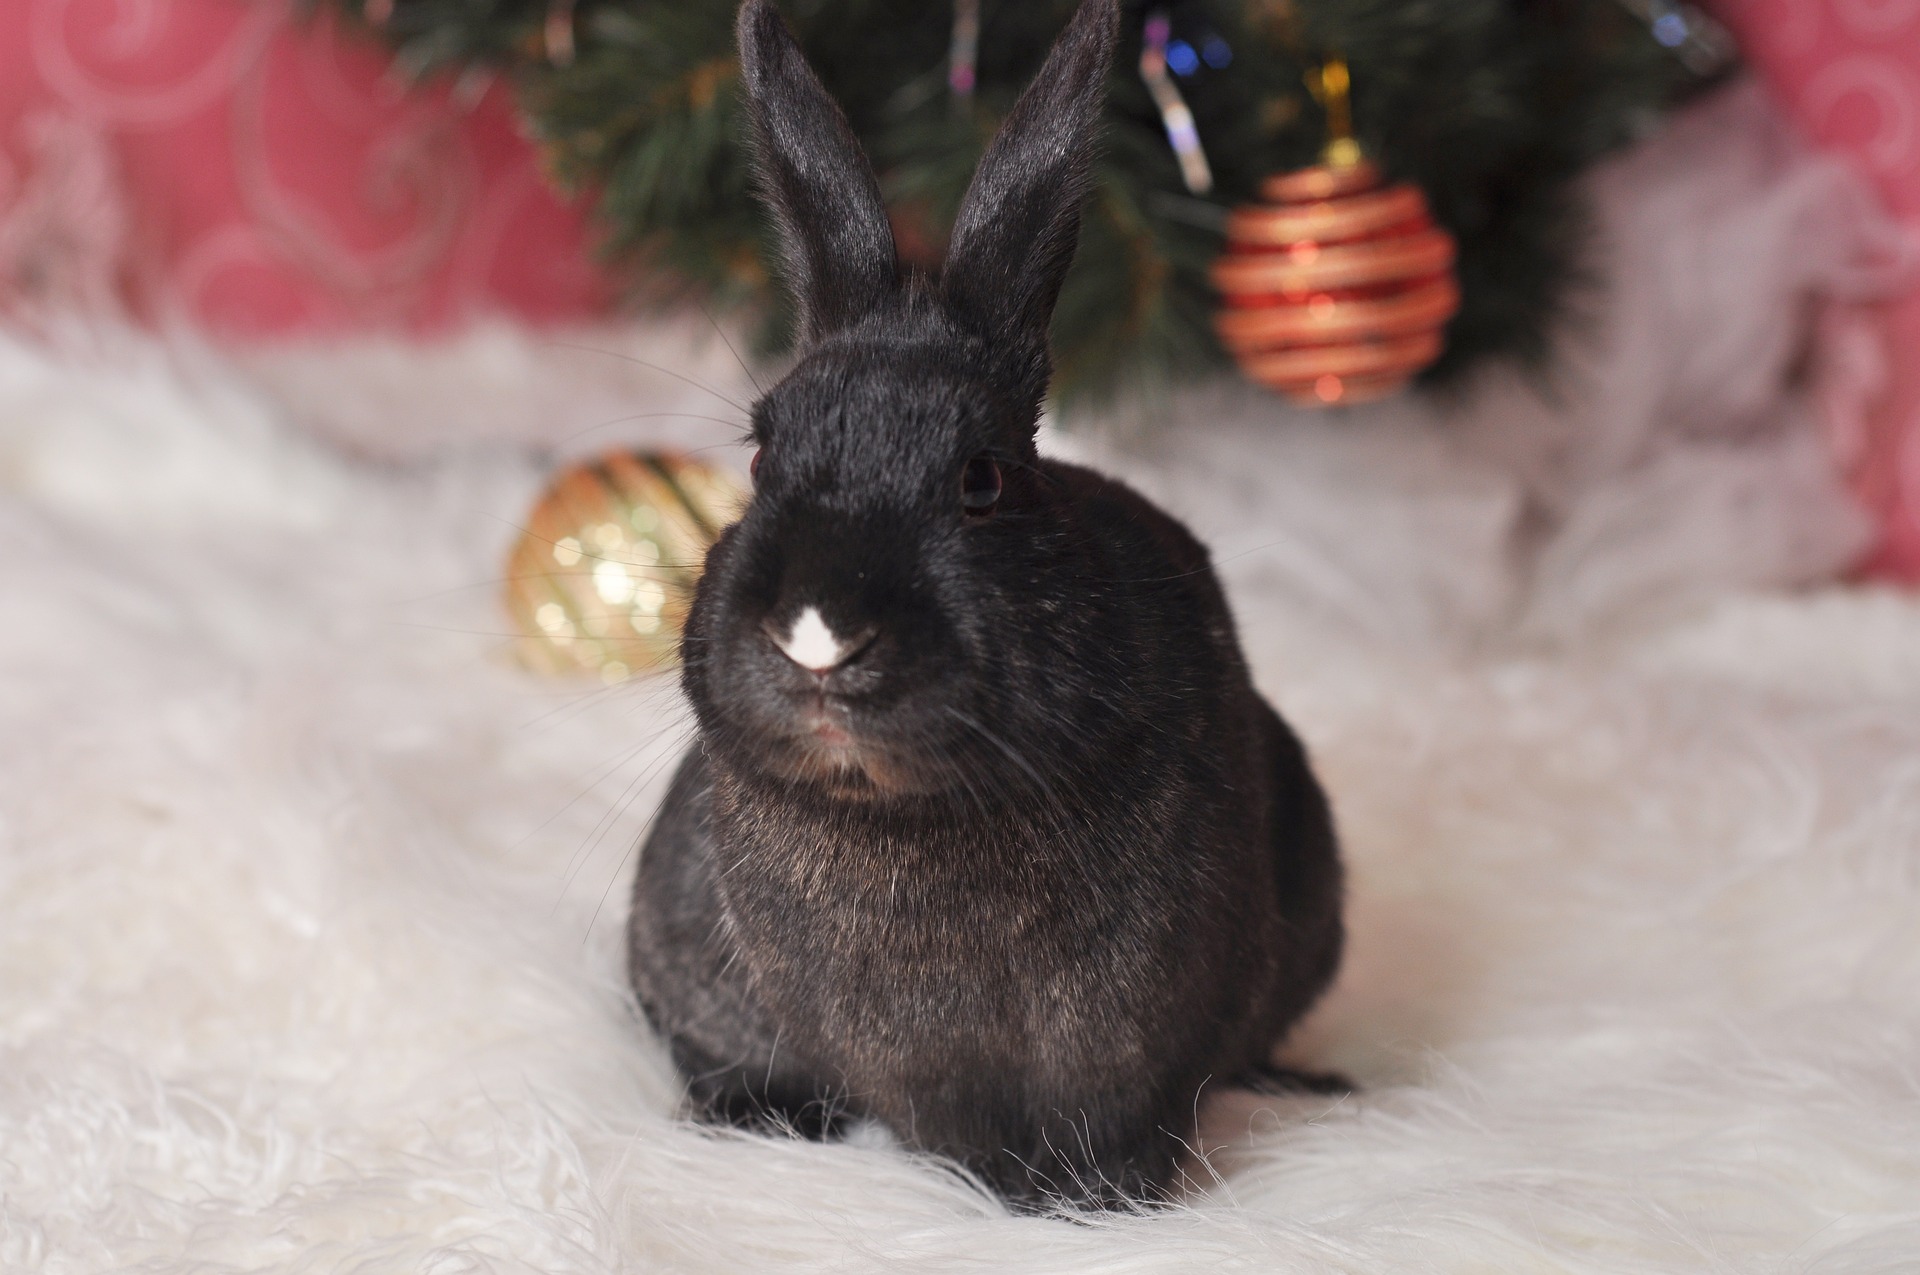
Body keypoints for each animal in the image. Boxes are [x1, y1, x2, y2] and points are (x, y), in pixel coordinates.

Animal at [627, 0, 1344, 1210]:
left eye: (982, 479)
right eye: (764, 455)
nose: (819, 637)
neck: (900, 816)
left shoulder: (1139, 1041)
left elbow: (1126, 1122)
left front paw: (1091, 1203)